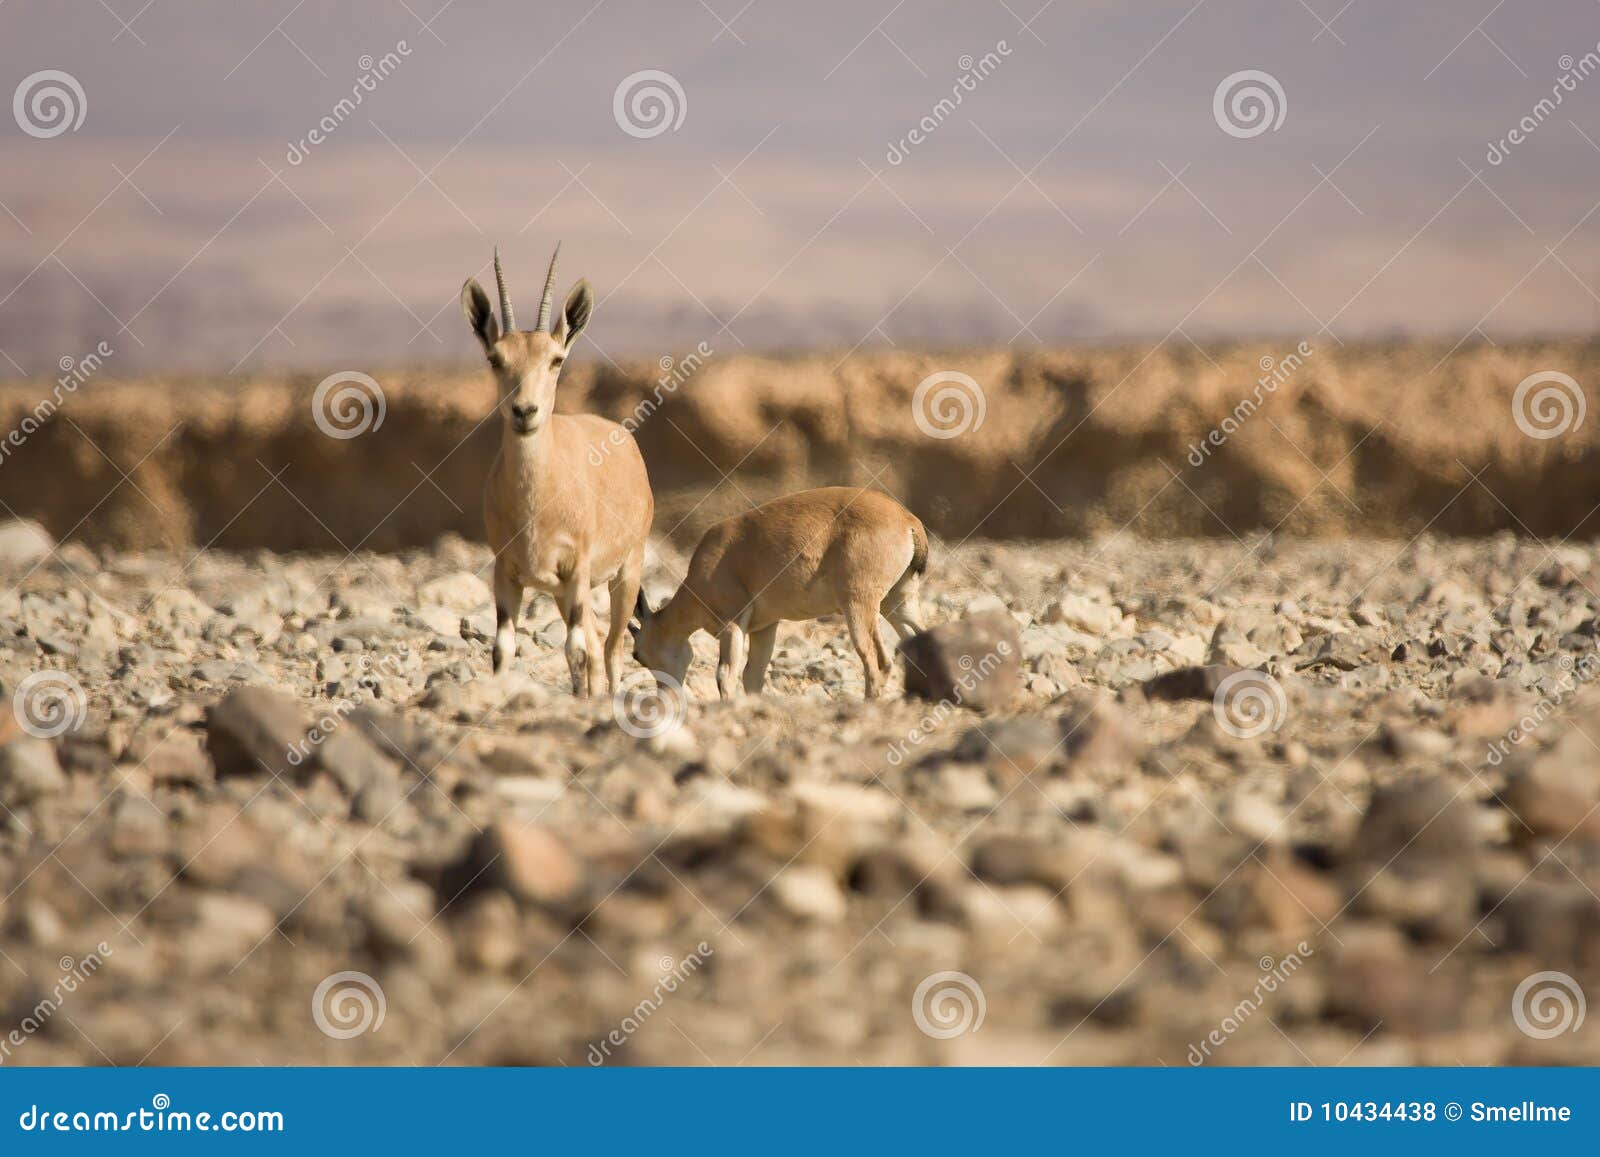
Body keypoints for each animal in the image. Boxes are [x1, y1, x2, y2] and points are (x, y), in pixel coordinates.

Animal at [462, 245, 654, 697]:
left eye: (556, 359)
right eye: (495, 358)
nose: (525, 411)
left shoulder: (577, 569)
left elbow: (576, 649)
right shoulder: (506, 572)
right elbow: (503, 650)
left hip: (624, 573)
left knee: (610, 648)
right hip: (563, 592)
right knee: (596, 643)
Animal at [631, 486, 927, 699]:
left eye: (636, 655)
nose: (666, 695)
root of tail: (907, 520)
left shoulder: (732, 624)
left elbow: (725, 675)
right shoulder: (765, 628)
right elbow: (752, 676)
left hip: (858, 605)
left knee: (879, 662)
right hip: (898, 604)